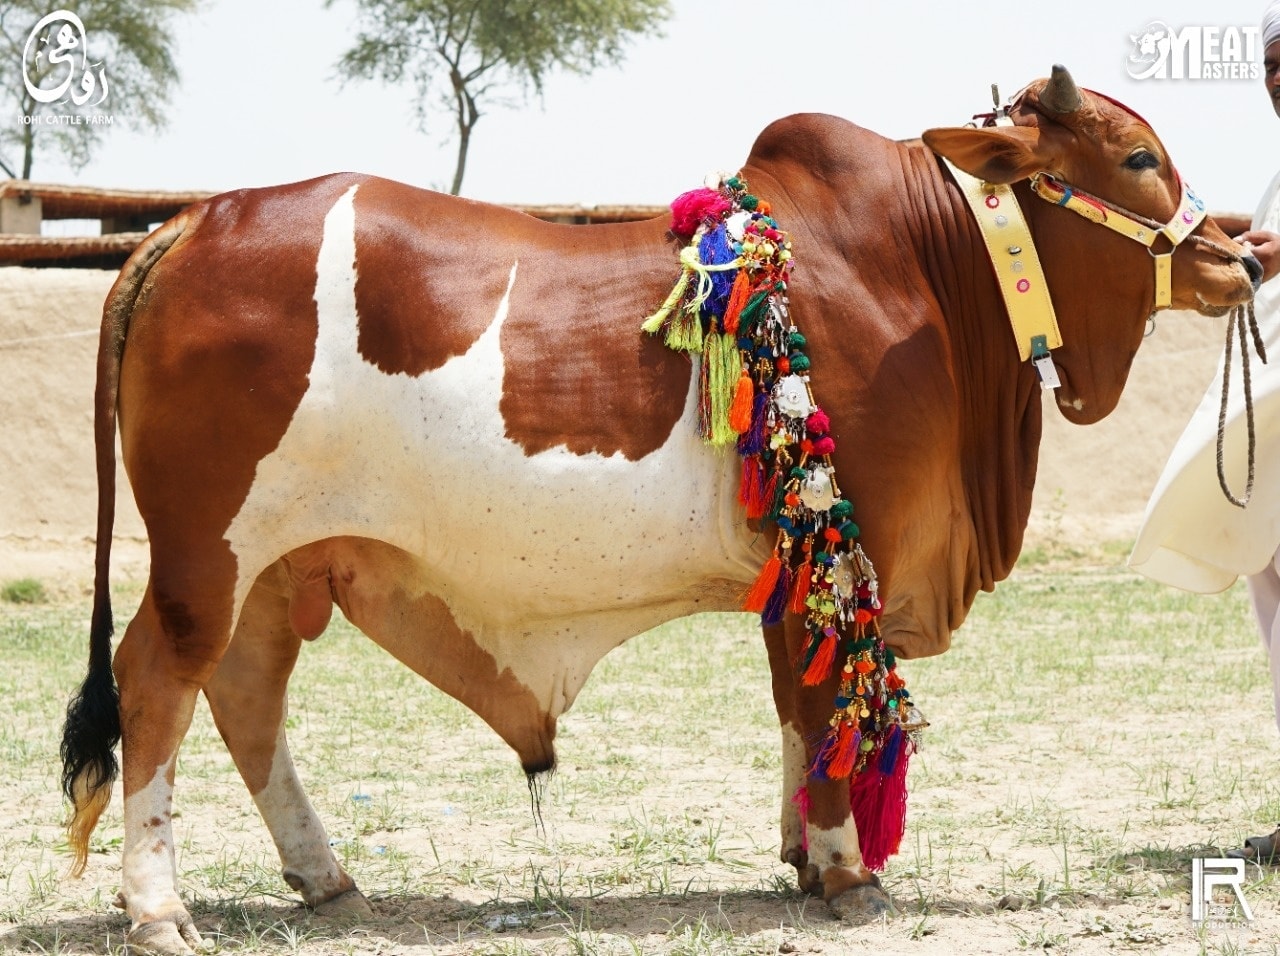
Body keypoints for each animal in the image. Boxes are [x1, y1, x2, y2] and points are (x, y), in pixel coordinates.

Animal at [60, 66, 1259, 955]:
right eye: (1138, 158)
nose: (1242, 258)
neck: (928, 266)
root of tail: (191, 222)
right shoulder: (849, 540)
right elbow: (825, 702)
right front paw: (845, 871)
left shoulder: (796, 560)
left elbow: (795, 701)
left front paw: (801, 854)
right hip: (207, 551)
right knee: (159, 681)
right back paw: (161, 908)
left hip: (274, 562)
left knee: (246, 693)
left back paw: (327, 877)